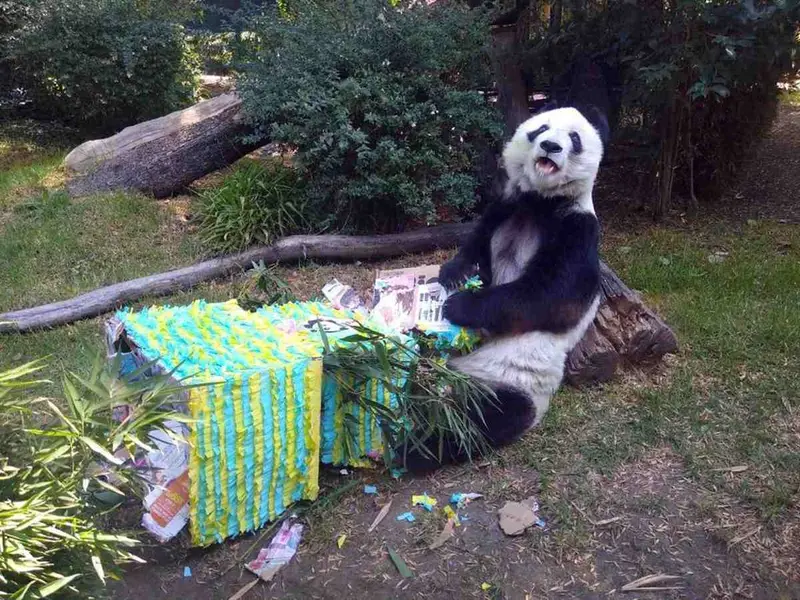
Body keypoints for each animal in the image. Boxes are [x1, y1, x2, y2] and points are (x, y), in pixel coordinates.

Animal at [401, 100, 610, 472]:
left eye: (574, 139)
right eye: (541, 128)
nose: (550, 147)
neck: (542, 201)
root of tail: (453, 374)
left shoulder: (578, 230)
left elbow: (552, 297)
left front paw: (459, 305)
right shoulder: (505, 206)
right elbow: (475, 245)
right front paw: (454, 274)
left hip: (515, 379)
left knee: (483, 418)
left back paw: (415, 446)